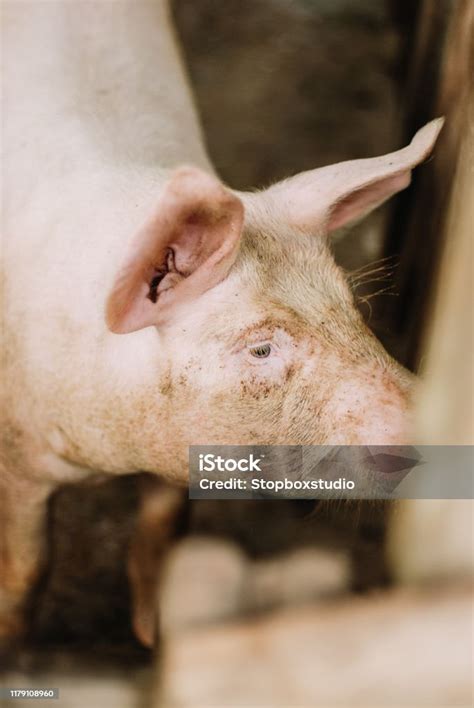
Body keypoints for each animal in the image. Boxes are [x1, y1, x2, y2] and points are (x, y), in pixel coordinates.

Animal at [0, 0, 443, 646]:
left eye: (352, 307)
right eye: (260, 349)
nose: (431, 427)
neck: (114, 443)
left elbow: (164, 527)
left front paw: (152, 635)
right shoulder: (17, 458)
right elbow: (27, 567)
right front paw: (13, 644)